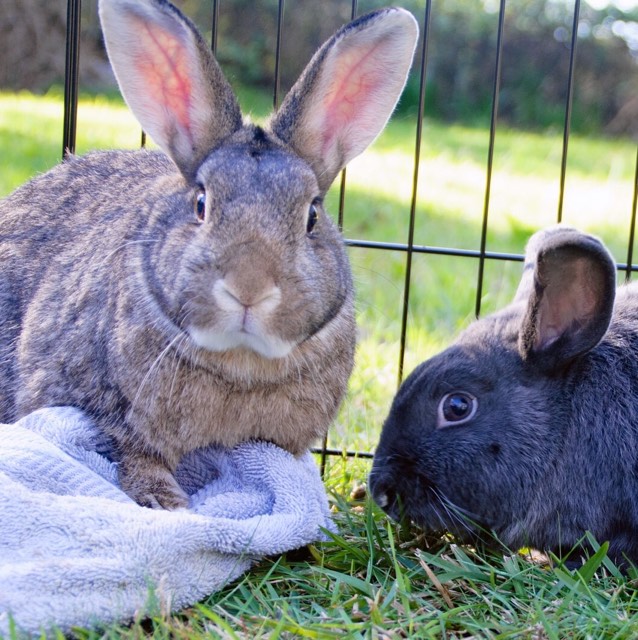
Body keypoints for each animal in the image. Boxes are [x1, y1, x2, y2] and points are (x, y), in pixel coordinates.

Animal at [0, 0, 418, 509]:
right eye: (201, 203)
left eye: (312, 216)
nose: (248, 288)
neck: (241, 364)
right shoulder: (105, 417)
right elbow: (135, 459)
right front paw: (167, 504)